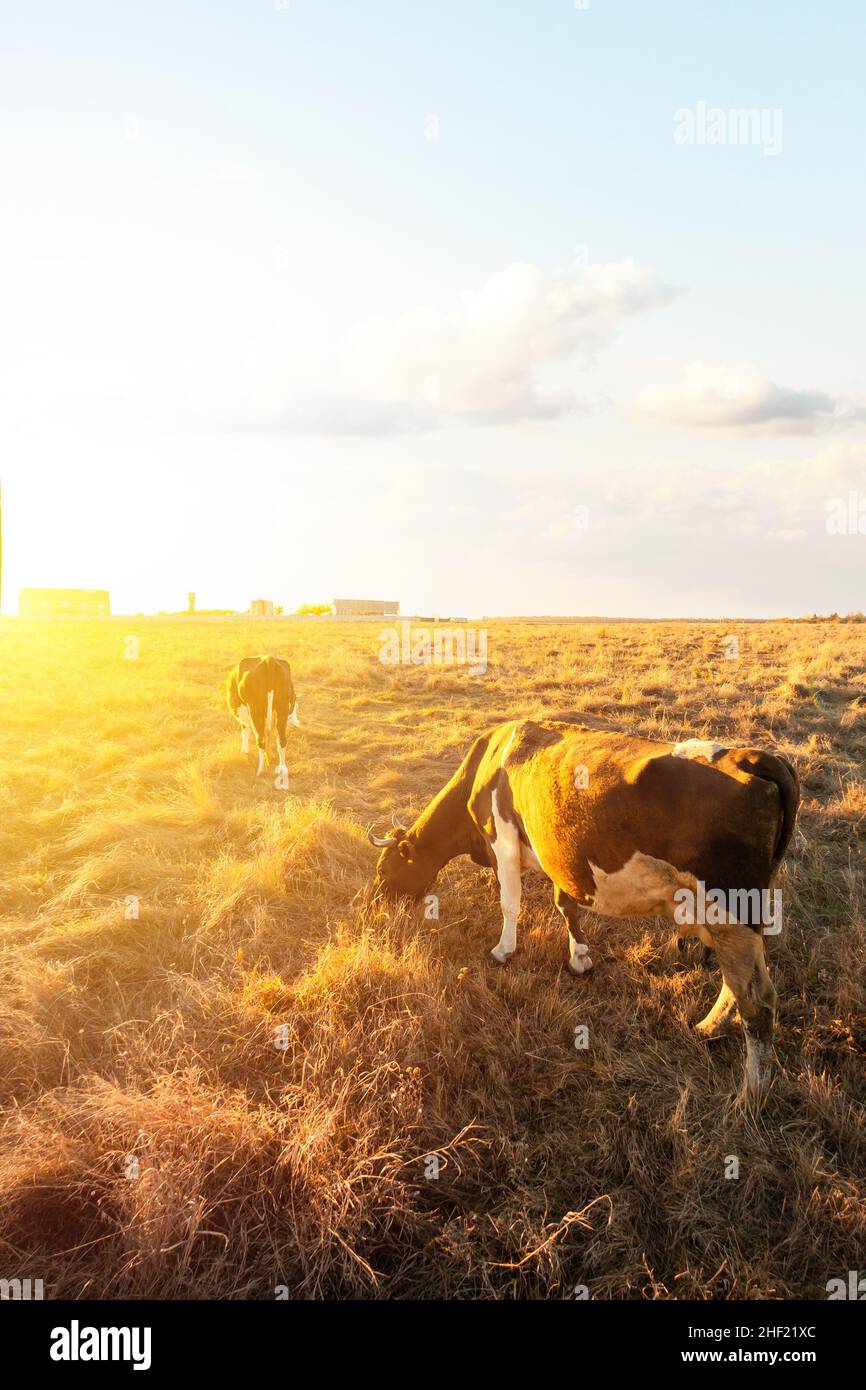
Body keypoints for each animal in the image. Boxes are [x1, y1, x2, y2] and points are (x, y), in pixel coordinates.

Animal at [369, 716, 799, 1101]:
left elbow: (510, 901)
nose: (376, 907)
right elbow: (565, 905)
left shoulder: (502, 838)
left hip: (731, 909)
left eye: (384, 868)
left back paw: (751, 1096)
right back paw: (708, 1027)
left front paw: (503, 950)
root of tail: (752, 757)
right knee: (736, 983)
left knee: (757, 1001)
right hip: (739, 918)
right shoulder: (560, 856)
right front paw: (579, 956)